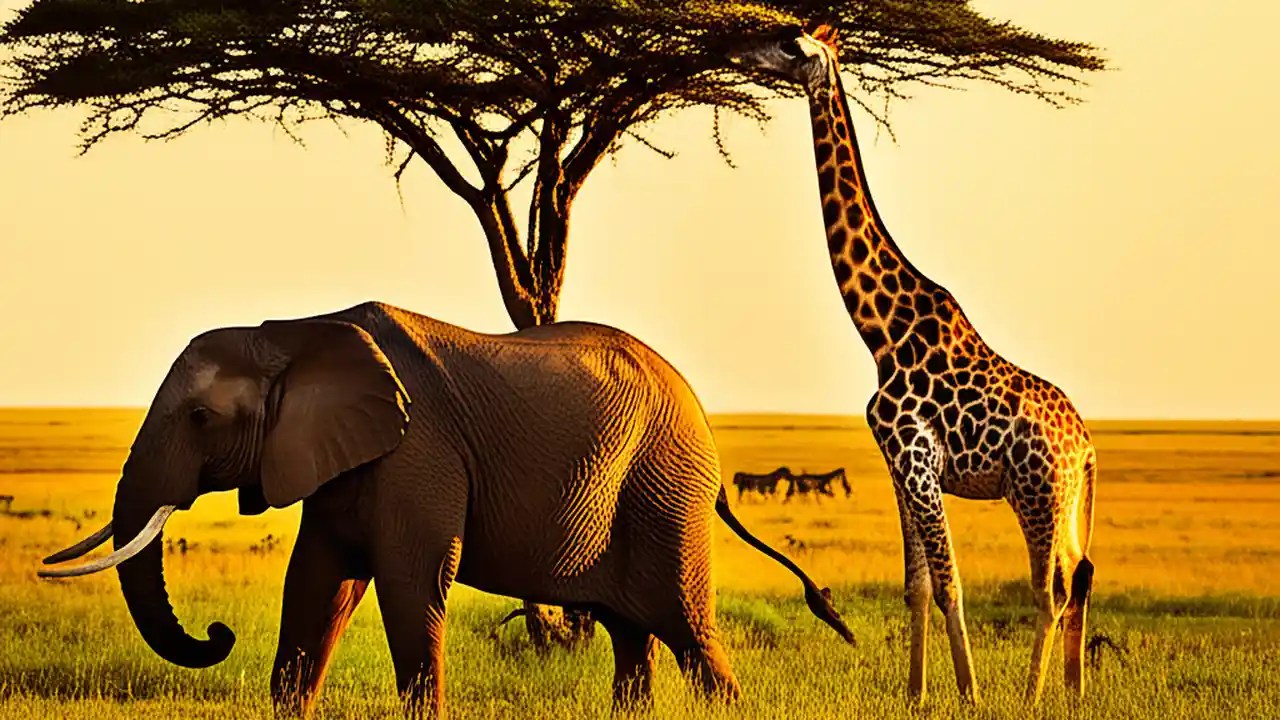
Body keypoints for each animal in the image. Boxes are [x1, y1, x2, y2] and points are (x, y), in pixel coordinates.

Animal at [39, 301, 854, 718]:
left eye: (202, 418)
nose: (216, 634)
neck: (295, 331)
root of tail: (703, 414)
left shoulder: (417, 450)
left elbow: (410, 581)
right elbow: (317, 585)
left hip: (666, 486)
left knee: (687, 628)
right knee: (632, 634)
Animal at [730, 25, 1098, 705]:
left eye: (790, 45)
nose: (739, 51)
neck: (880, 332)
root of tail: (1086, 446)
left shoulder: (918, 460)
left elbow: (951, 583)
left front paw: (970, 694)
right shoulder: (900, 467)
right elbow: (918, 586)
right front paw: (916, 693)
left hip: (1036, 492)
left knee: (1052, 587)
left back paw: (1031, 694)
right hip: (1061, 498)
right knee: (1080, 571)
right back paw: (1073, 691)